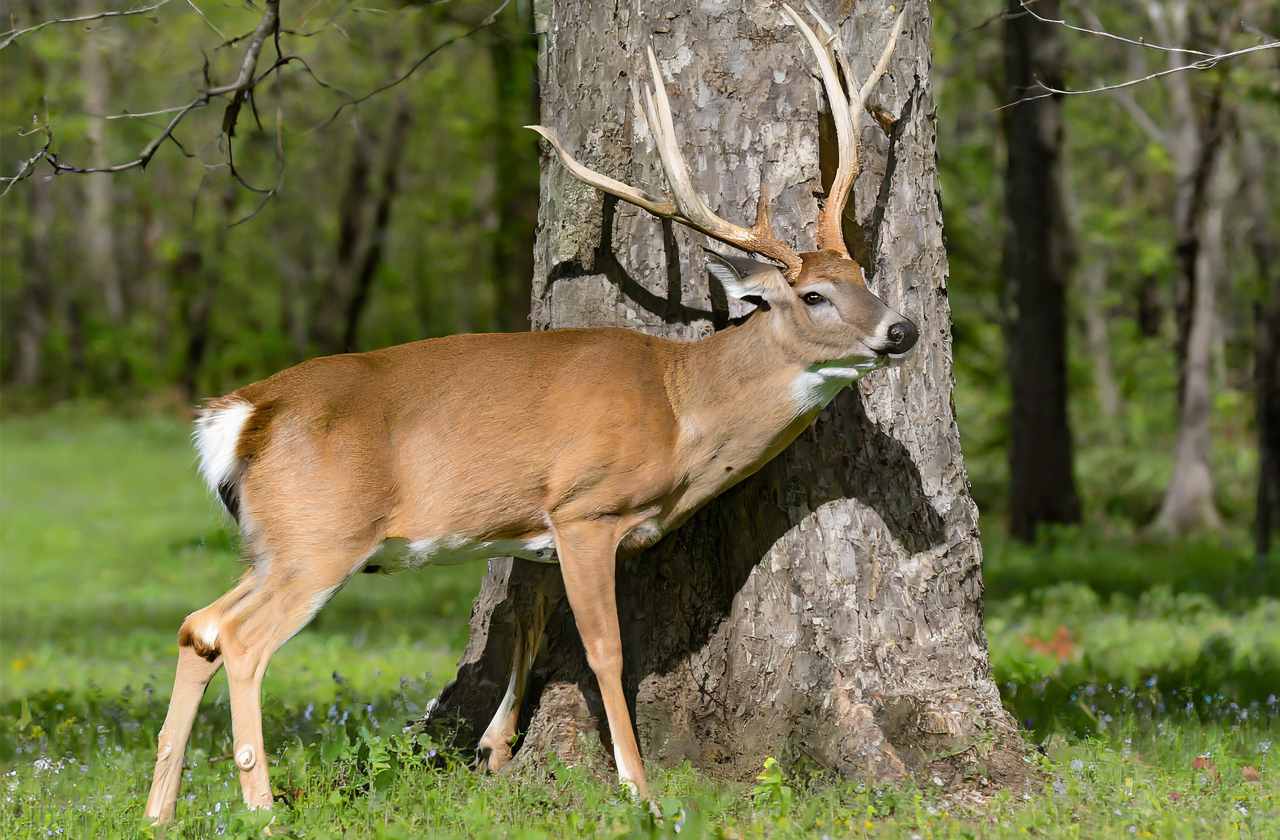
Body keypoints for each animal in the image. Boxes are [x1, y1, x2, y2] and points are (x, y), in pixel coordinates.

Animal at [145, 3, 912, 824]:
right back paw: (259, 805)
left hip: (275, 540)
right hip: (323, 537)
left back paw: (160, 808)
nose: (902, 330)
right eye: (814, 296)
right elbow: (605, 652)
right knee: (241, 639)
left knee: (198, 626)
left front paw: (494, 749)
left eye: (863, 273)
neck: (680, 408)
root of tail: (242, 413)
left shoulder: (532, 532)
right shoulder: (585, 509)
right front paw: (639, 788)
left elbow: (525, 626)